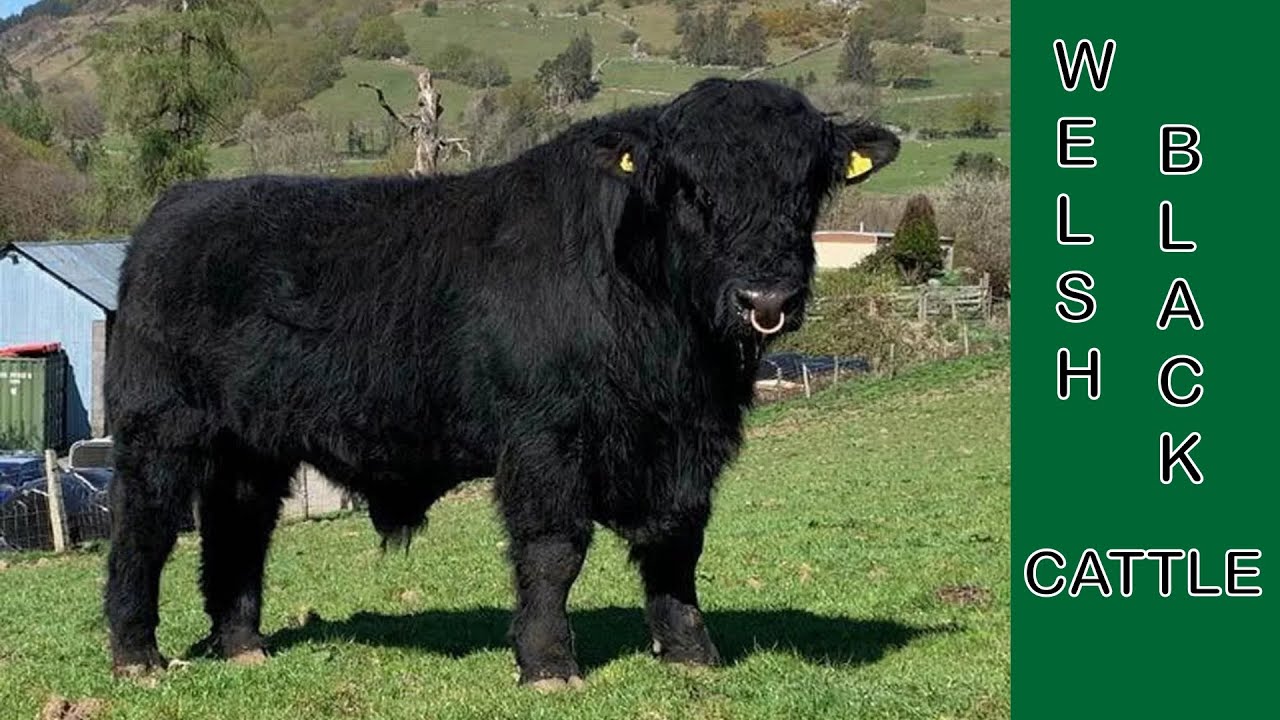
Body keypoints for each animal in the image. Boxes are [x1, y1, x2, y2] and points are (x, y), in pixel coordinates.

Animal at [103, 78, 900, 688]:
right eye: (690, 188)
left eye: (808, 187)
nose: (766, 299)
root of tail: (174, 211)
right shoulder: (545, 439)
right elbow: (553, 551)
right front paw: (548, 666)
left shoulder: (691, 446)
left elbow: (678, 545)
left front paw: (691, 652)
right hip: (160, 430)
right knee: (145, 531)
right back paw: (138, 656)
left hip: (253, 447)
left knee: (238, 530)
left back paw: (244, 647)